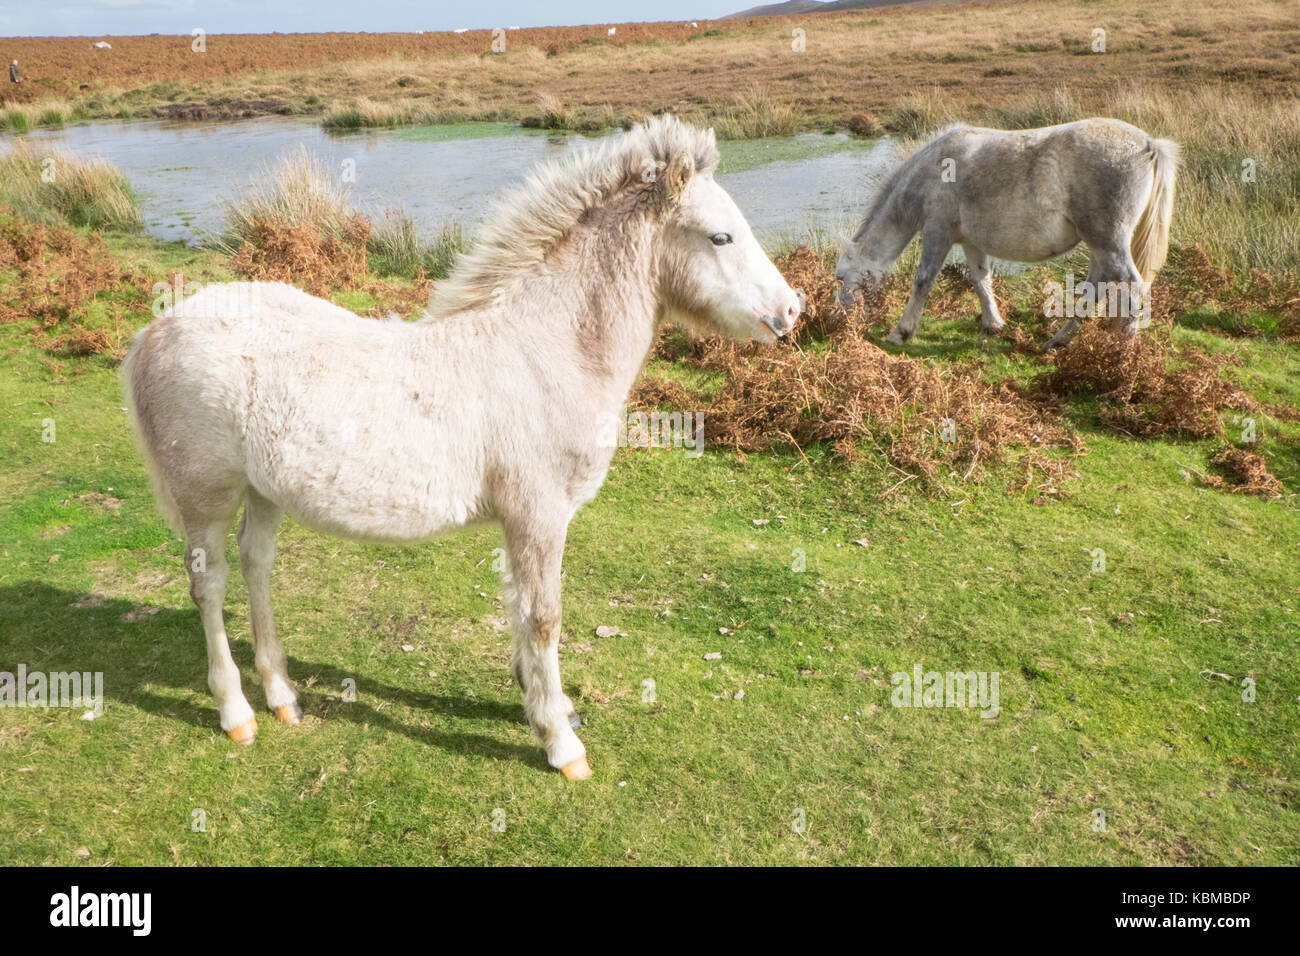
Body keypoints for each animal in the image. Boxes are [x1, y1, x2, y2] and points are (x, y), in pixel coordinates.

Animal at [121, 116, 803, 780]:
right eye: (720, 237)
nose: (792, 310)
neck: (543, 351)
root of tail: (156, 329)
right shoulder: (538, 515)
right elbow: (543, 616)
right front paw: (561, 744)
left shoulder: (521, 520)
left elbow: (519, 610)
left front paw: (541, 706)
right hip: (205, 492)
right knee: (210, 584)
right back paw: (237, 711)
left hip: (264, 490)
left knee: (257, 563)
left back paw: (282, 694)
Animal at [835, 118, 1178, 350]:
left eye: (840, 278)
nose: (837, 319)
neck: (934, 171)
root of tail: (1147, 143)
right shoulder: (970, 243)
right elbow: (981, 280)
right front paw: (993, 324)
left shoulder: (938, 233)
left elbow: (922, 283)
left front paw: (901, 332)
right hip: (1100, 245)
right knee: (1096, 288)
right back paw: (1058, 341)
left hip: (1108, 242)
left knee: (1133, 287)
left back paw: (1125, 348)